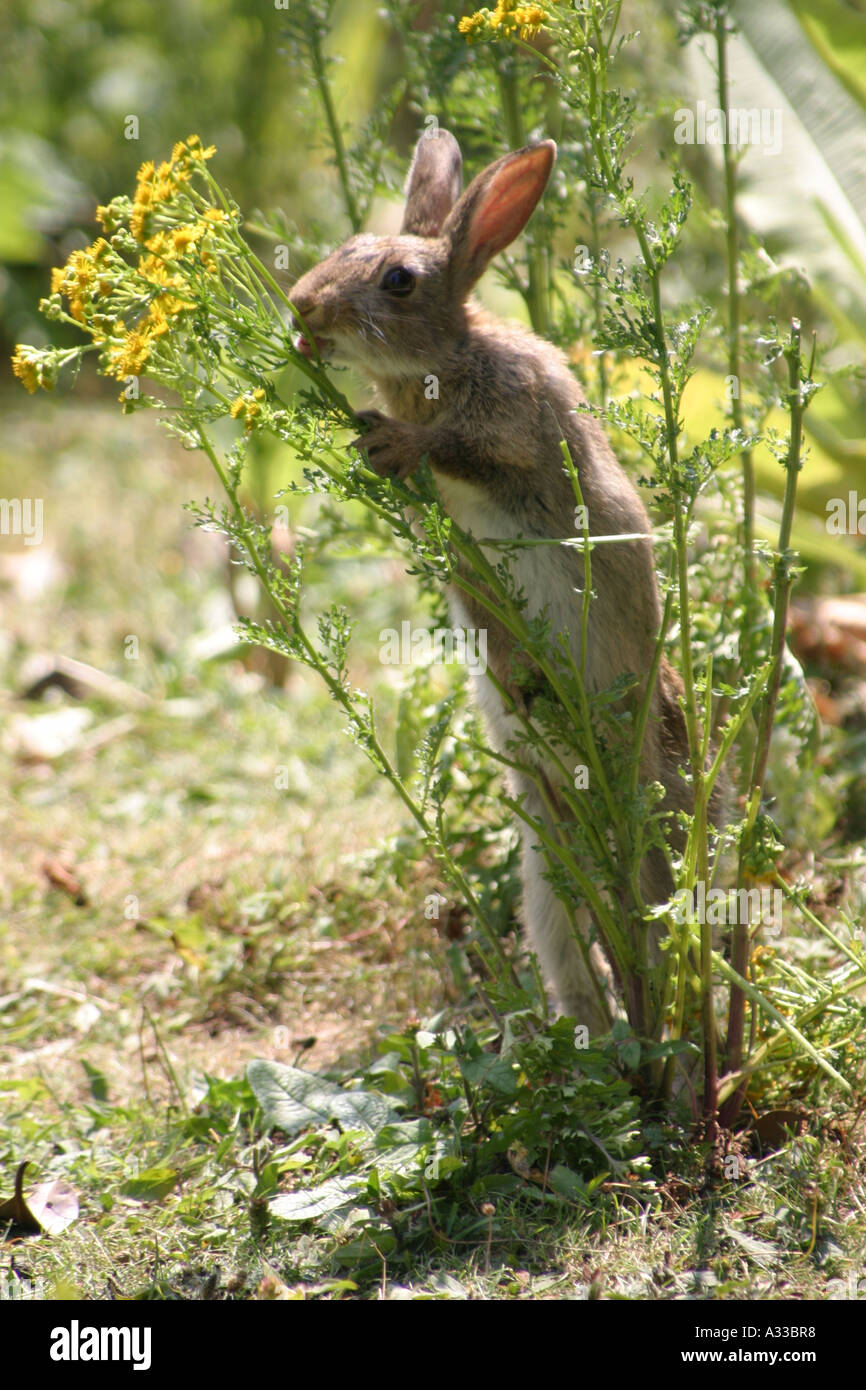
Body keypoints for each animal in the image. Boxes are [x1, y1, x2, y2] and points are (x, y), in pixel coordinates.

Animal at [288, 129, 715, 1033]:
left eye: (398, 280)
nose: (303, 309)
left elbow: (469, 451)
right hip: (540, 868)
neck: (444, 358)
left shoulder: (516, 437)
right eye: (345, 246)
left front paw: (393, 442)